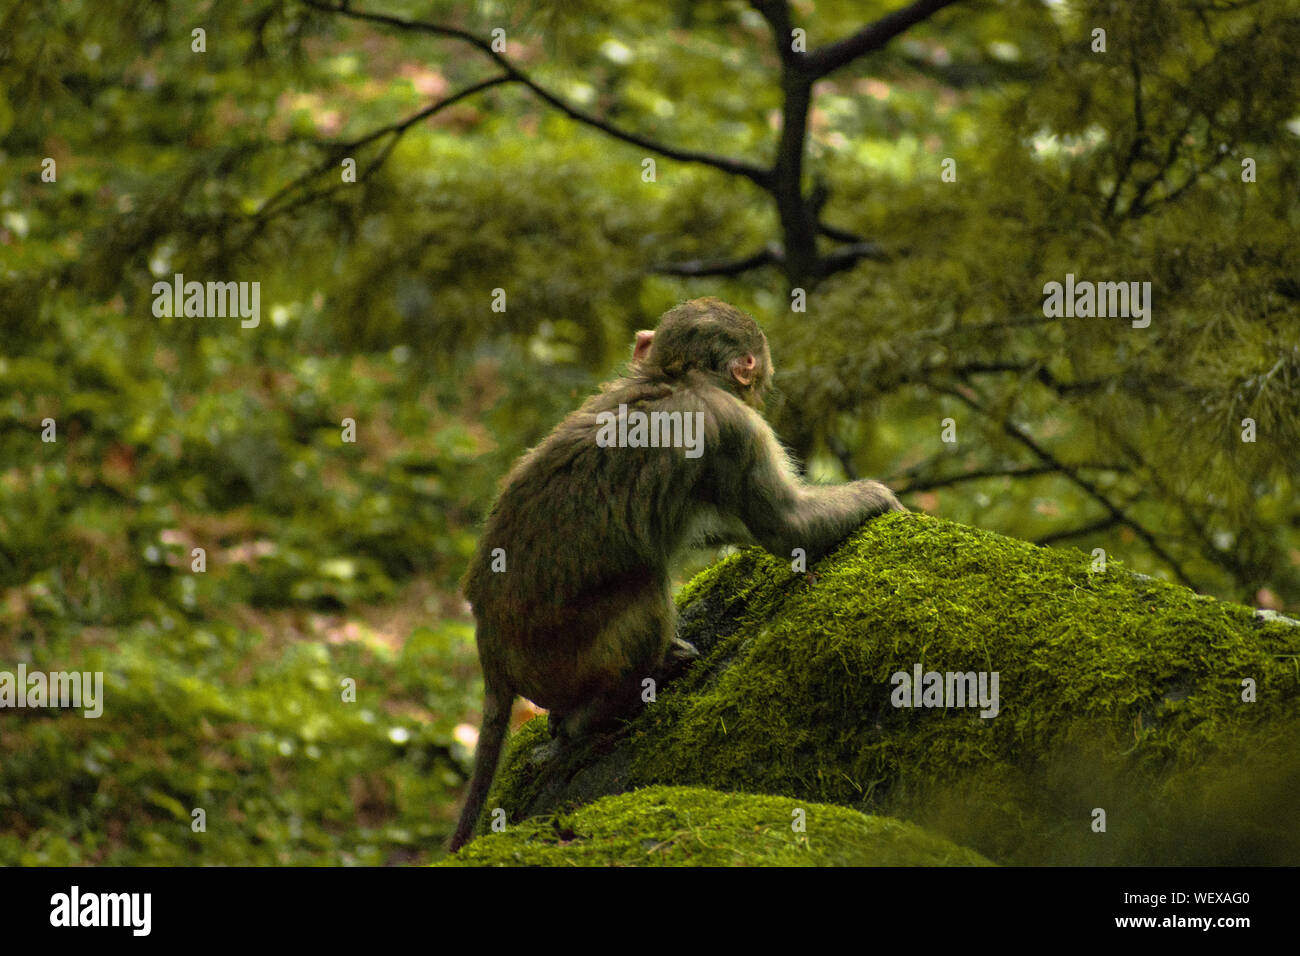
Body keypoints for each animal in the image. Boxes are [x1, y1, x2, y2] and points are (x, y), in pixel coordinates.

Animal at [448, 297, 903, 851]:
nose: (764, 385)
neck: (676, 376)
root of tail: (489, 647)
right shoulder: (738, 427)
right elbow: (786, 527)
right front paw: (880, 496)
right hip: (560, 659)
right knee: (644, 585)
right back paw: (600, 710)